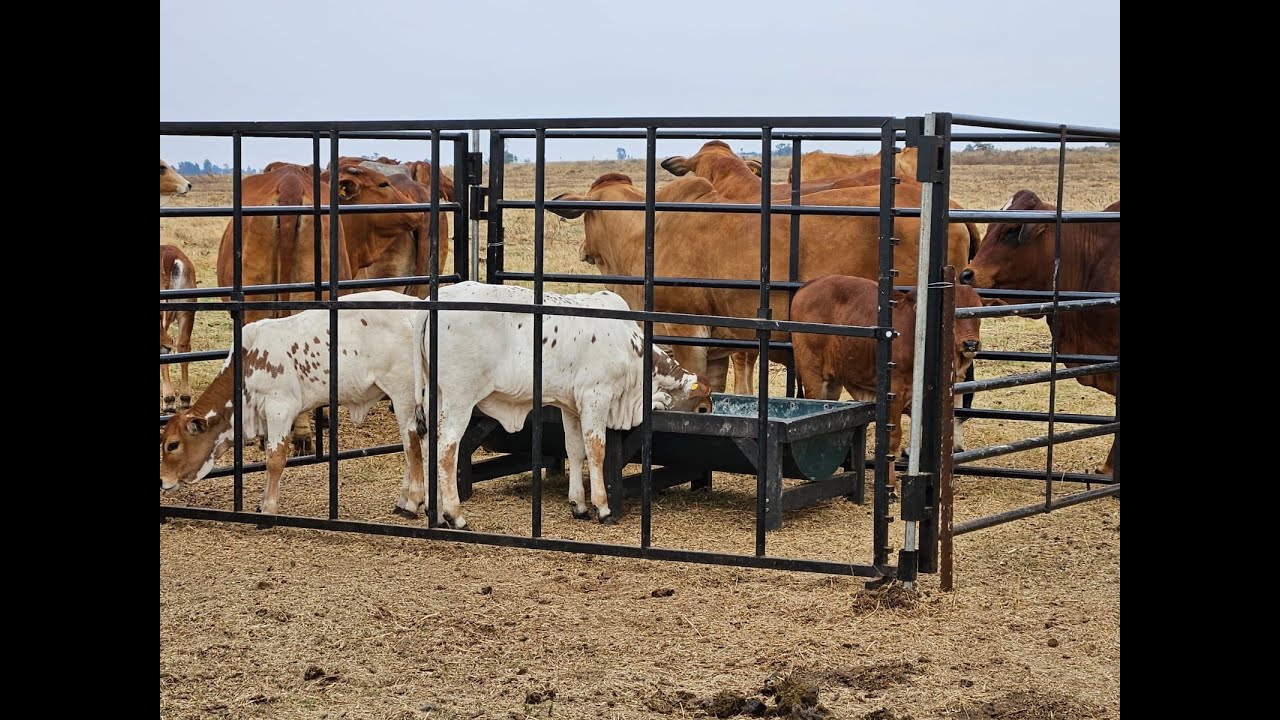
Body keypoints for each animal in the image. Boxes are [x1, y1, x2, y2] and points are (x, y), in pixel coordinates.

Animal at [159, 291, 434, 517]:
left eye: (173, 444)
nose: (162, 481)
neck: (248, 363)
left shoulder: (279, 408)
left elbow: (275, 458)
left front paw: (269, 508)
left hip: (403, 393)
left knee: (412, 441)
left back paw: (412, 501)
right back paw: (404, 500)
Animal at [411, 281, 713, 529]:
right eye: (702, 410)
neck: (630, 348)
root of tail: (433, 303)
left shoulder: (570, 406)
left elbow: (575, 450)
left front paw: (578, 504)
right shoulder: (595, 396)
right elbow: (596, 450)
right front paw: (602, 507)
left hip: (433, 395)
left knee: (427, 442)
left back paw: (435, 512)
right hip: (459, 397)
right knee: (447, 448)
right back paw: (454, 515)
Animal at [790, 275, 985, 491]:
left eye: (979, 312)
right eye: (956, 312)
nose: (971, 344)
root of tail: (808, 286)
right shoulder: (895, 394)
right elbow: (892, 439)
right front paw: (889, 485)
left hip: (833, 383)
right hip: (813, 375)